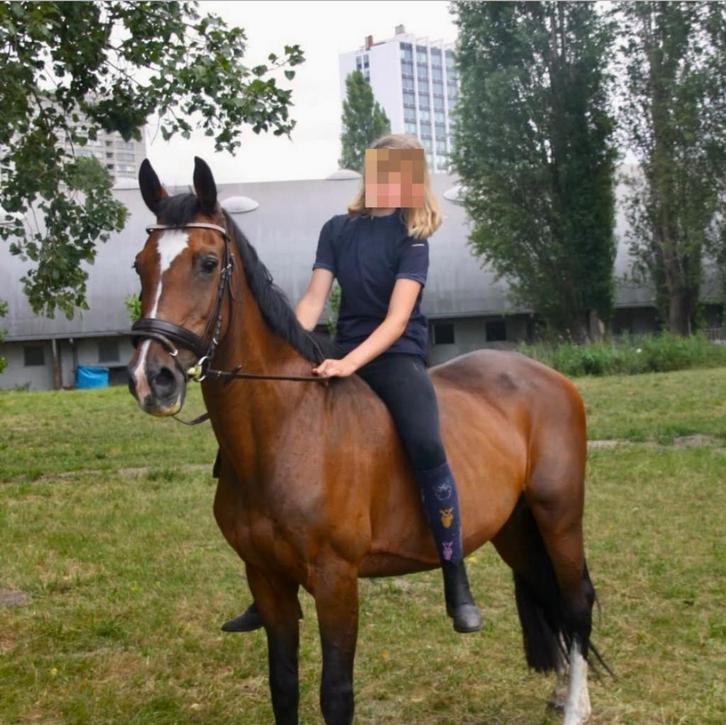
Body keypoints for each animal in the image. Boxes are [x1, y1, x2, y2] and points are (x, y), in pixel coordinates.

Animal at [127, 157, 603, 725]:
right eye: (139, 266)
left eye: (205, 262)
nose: (151, 379)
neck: (287, 428)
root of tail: (551, 379)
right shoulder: (266, 579)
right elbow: (282, 685)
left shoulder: (336, 581)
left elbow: (336, 694)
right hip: (513, 526)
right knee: (545, 591)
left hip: (558, 514)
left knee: (575, 599)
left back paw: (574, 706)